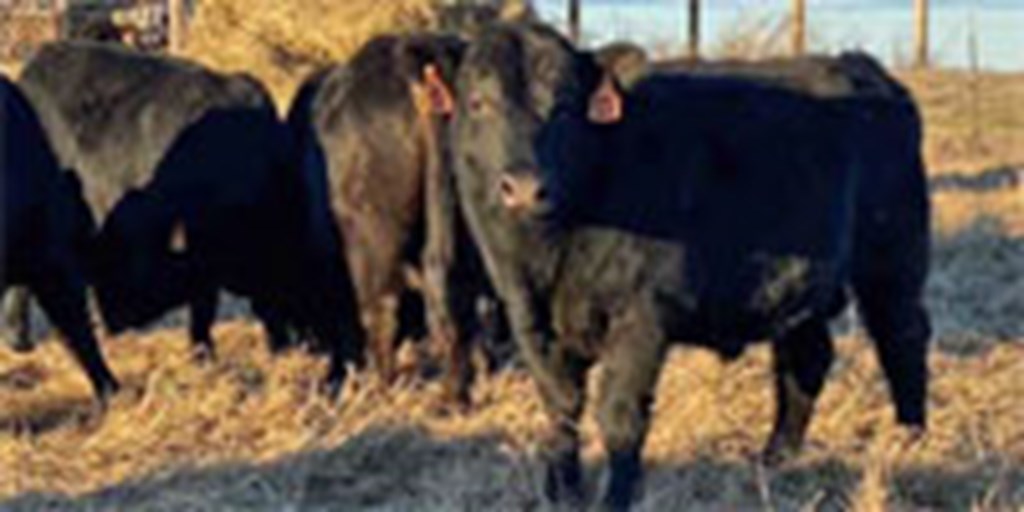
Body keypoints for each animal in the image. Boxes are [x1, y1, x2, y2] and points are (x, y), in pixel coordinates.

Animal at [432, 22, 930, 509]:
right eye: (477, 102)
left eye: (565, 107)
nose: (525, 186)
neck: (554, 253)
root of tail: (865, 69)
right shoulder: (526, 314)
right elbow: (561, 406)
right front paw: (561, 492)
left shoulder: (642, 316)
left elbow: (620, 415)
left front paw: (614, 499)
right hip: (801, 288)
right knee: (807, 358)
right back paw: (775, 457)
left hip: (893, 258)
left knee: (902, 335)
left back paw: (909, 440)